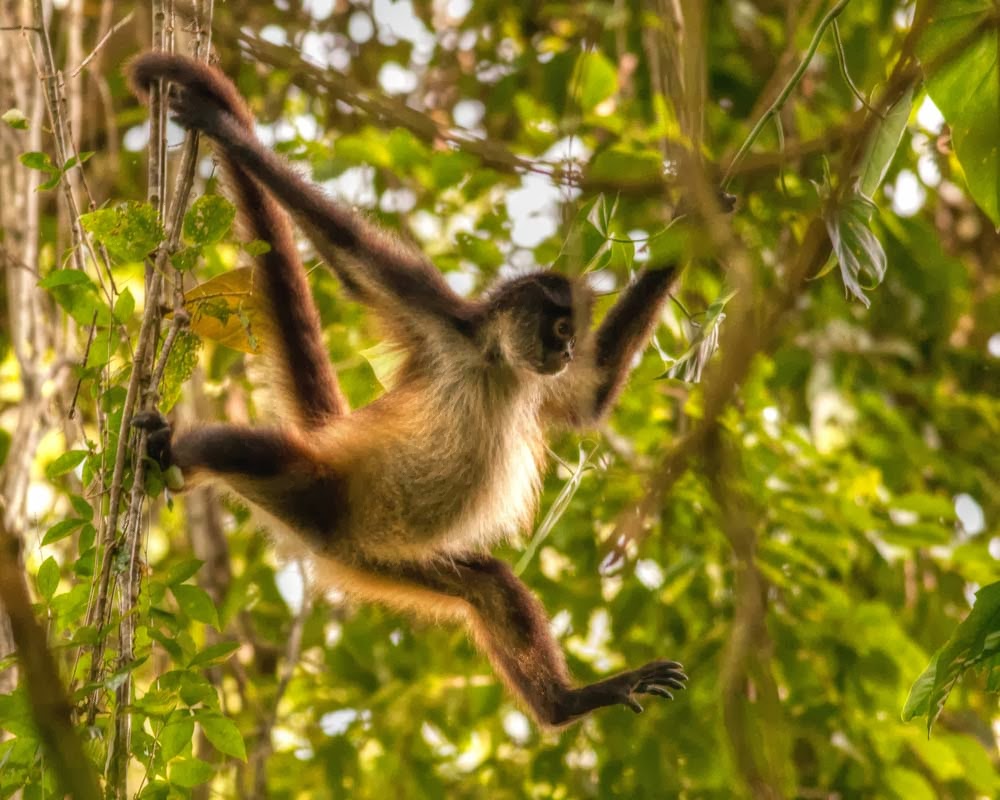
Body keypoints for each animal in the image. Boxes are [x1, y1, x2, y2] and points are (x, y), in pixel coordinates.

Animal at [128, 53, 694, 728]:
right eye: (559, 328)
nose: (563, 352)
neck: (497, 364)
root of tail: (342, 539)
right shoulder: (438, 316)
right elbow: (347, 252)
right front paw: (225, 129)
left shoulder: (535, 383)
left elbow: (594, 396)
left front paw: (697, 221)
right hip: (316, 490)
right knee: (245, 452)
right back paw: (168, 453)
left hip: (395, 559)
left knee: (491, 585)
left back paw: (567, 704)